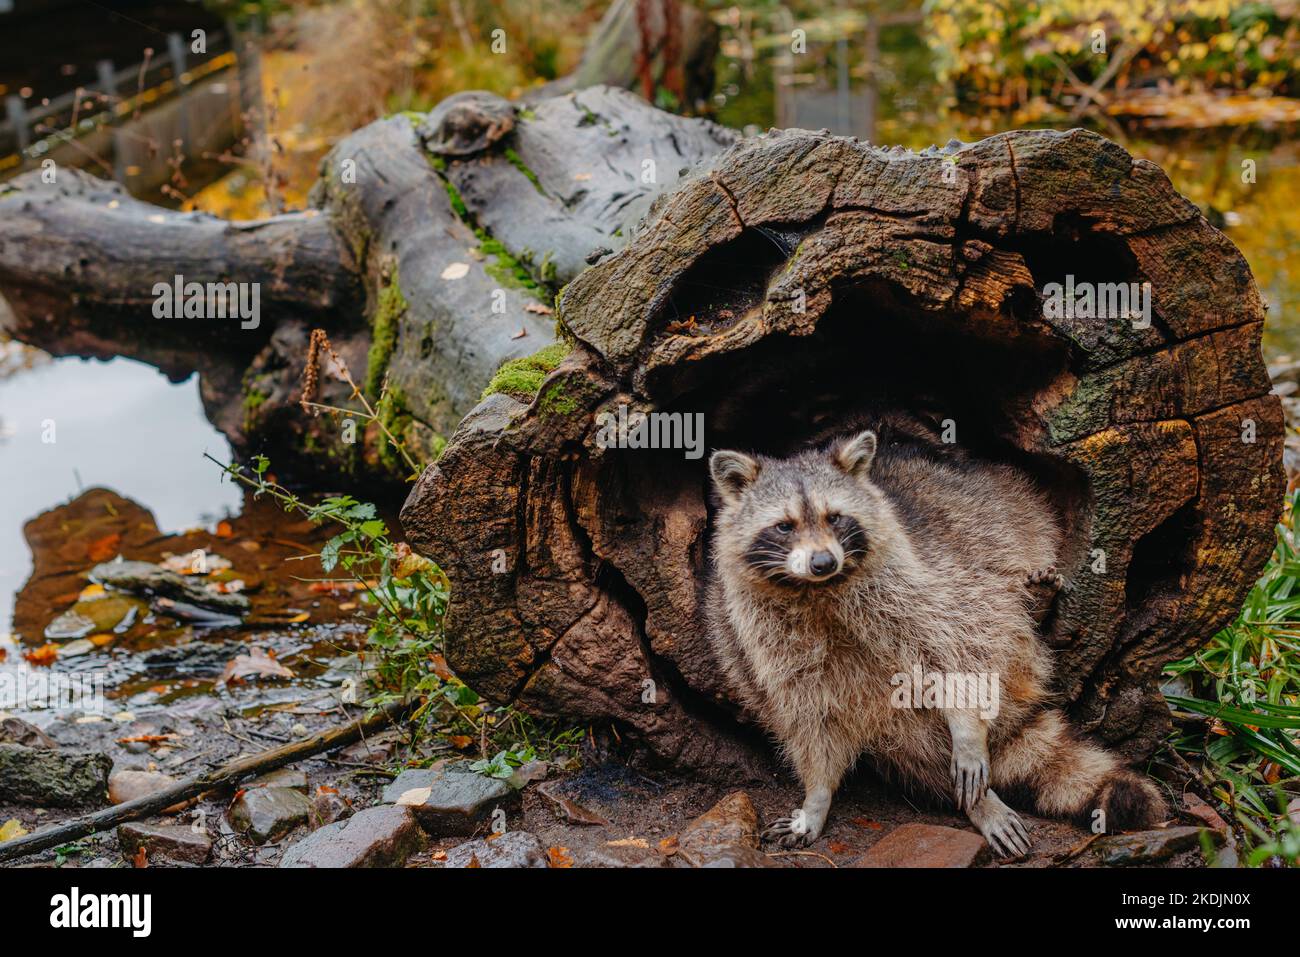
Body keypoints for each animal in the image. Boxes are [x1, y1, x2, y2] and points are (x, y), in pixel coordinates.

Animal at [705, 427, 1165, 855]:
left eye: (834, 517)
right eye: (784, 526)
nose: (822, 562)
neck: (820, 591)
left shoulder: (928, 581)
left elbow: (956, 648)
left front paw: (966, 731)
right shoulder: (762, 640)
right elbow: (808, 718)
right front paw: (817, 796)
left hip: (1010, 525)